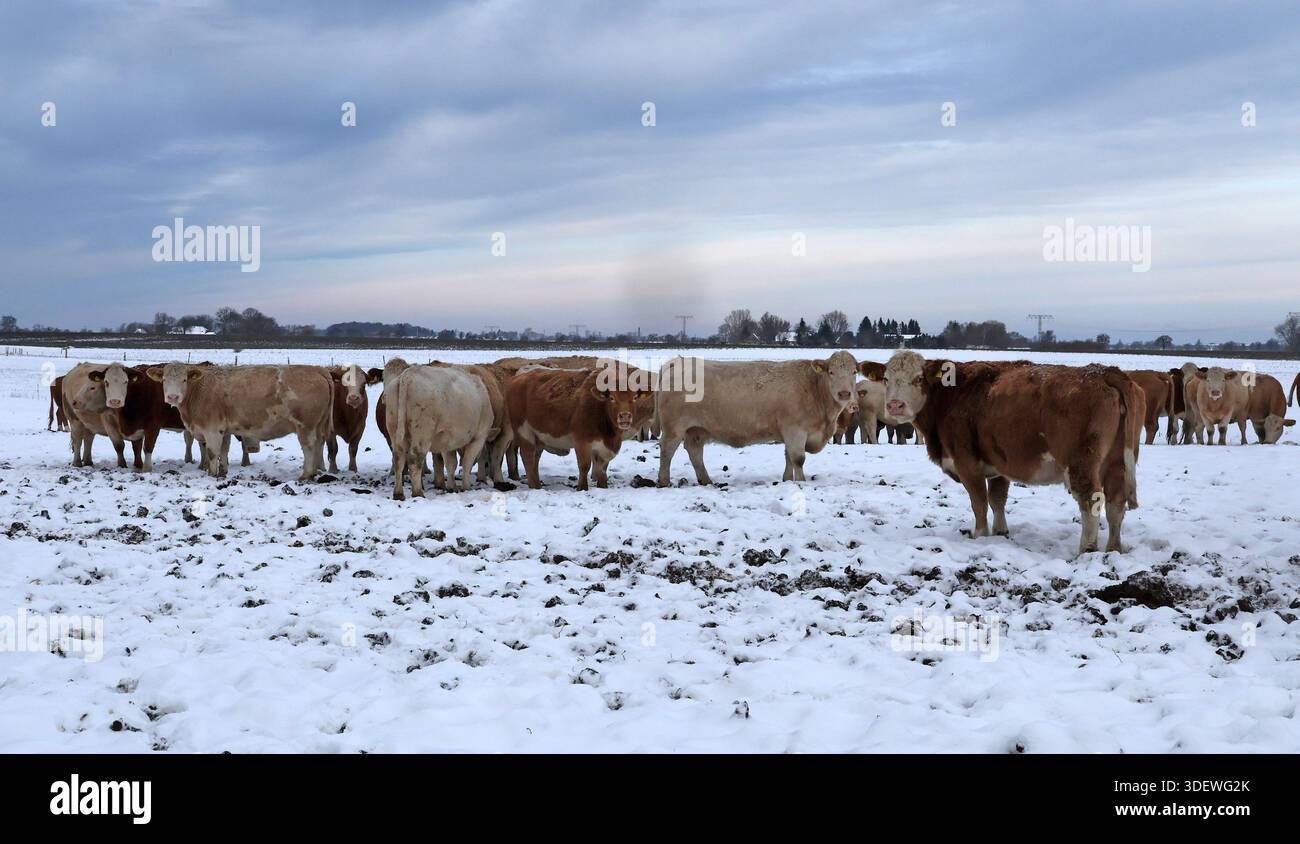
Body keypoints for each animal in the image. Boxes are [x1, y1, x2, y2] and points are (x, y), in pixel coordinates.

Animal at [146, 363, 334, 480]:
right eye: (164, 380)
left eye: (184, 379)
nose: (172, 397)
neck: (199, 390)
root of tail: (317, 370)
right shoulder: (224, 430)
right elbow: (224, 451)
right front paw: (223, 472)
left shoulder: (212, 429)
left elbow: (212, 452)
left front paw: (211, 474)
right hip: (318, 425)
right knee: (319, 444)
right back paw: (315, 472)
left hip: (305, 425)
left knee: (309, 447)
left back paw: (306, 475)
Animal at [384, 358, 494, 499]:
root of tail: (408, 375)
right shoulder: (479, 437)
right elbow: (467, 462)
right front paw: (466, 487)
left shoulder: (447, 441)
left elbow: (451, 463)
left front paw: (452, 487)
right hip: (423, 432)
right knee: (415, 459)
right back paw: (418, 492)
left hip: (394, 428)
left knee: (398, 459)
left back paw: (398, 493)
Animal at [506, 364, 653, 490]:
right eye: (612, 397)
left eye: (634, 397)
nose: (625, 416)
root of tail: (516, 379)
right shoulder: (581, 441)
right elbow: (584, 466)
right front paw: (582, 488)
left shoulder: (605, 448)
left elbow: (602, 469)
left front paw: (603, 486)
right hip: (524, 431)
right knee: (528, 457)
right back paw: (534, 486)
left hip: (539, 435)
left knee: (535, 459)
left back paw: (537, 483)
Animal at [655, 351, 858, 485]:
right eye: (831, 372)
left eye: (854, 372)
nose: (844, 393)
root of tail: (678, 362)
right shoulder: (796, 430)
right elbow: (798, 458)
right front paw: (801, 482)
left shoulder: (788, 432)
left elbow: (788, 457)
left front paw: (786, 479)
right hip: (674, 428)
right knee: (667, 450)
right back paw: (664, 481)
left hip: (696, 430)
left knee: (695, 452)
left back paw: (706, 481)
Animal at [880, 351, 1141, 555]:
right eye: (885, 379)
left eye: (918, 379)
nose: (894, 405)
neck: (953, 395)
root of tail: (1103, 371)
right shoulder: (997, 465)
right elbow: (997, 499)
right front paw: (1000, 532)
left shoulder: (968, 465)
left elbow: (979, 502)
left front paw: (980, 534)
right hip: (1116, 462)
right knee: (1116, 502)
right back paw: (1114, 548)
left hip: (1081, 463)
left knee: (1091, 500)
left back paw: (1086, 549)